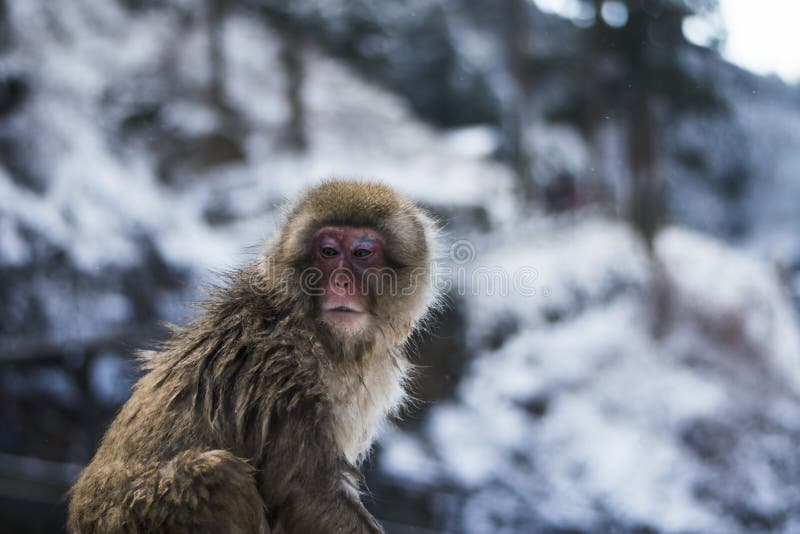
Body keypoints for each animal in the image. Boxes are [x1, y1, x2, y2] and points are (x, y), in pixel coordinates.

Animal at [67, 180, 441, 534]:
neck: (313, 328)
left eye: (362, 253)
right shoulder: (286, 371)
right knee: (222, 476)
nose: (341, 282)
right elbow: (305, 491)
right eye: (329, 252)